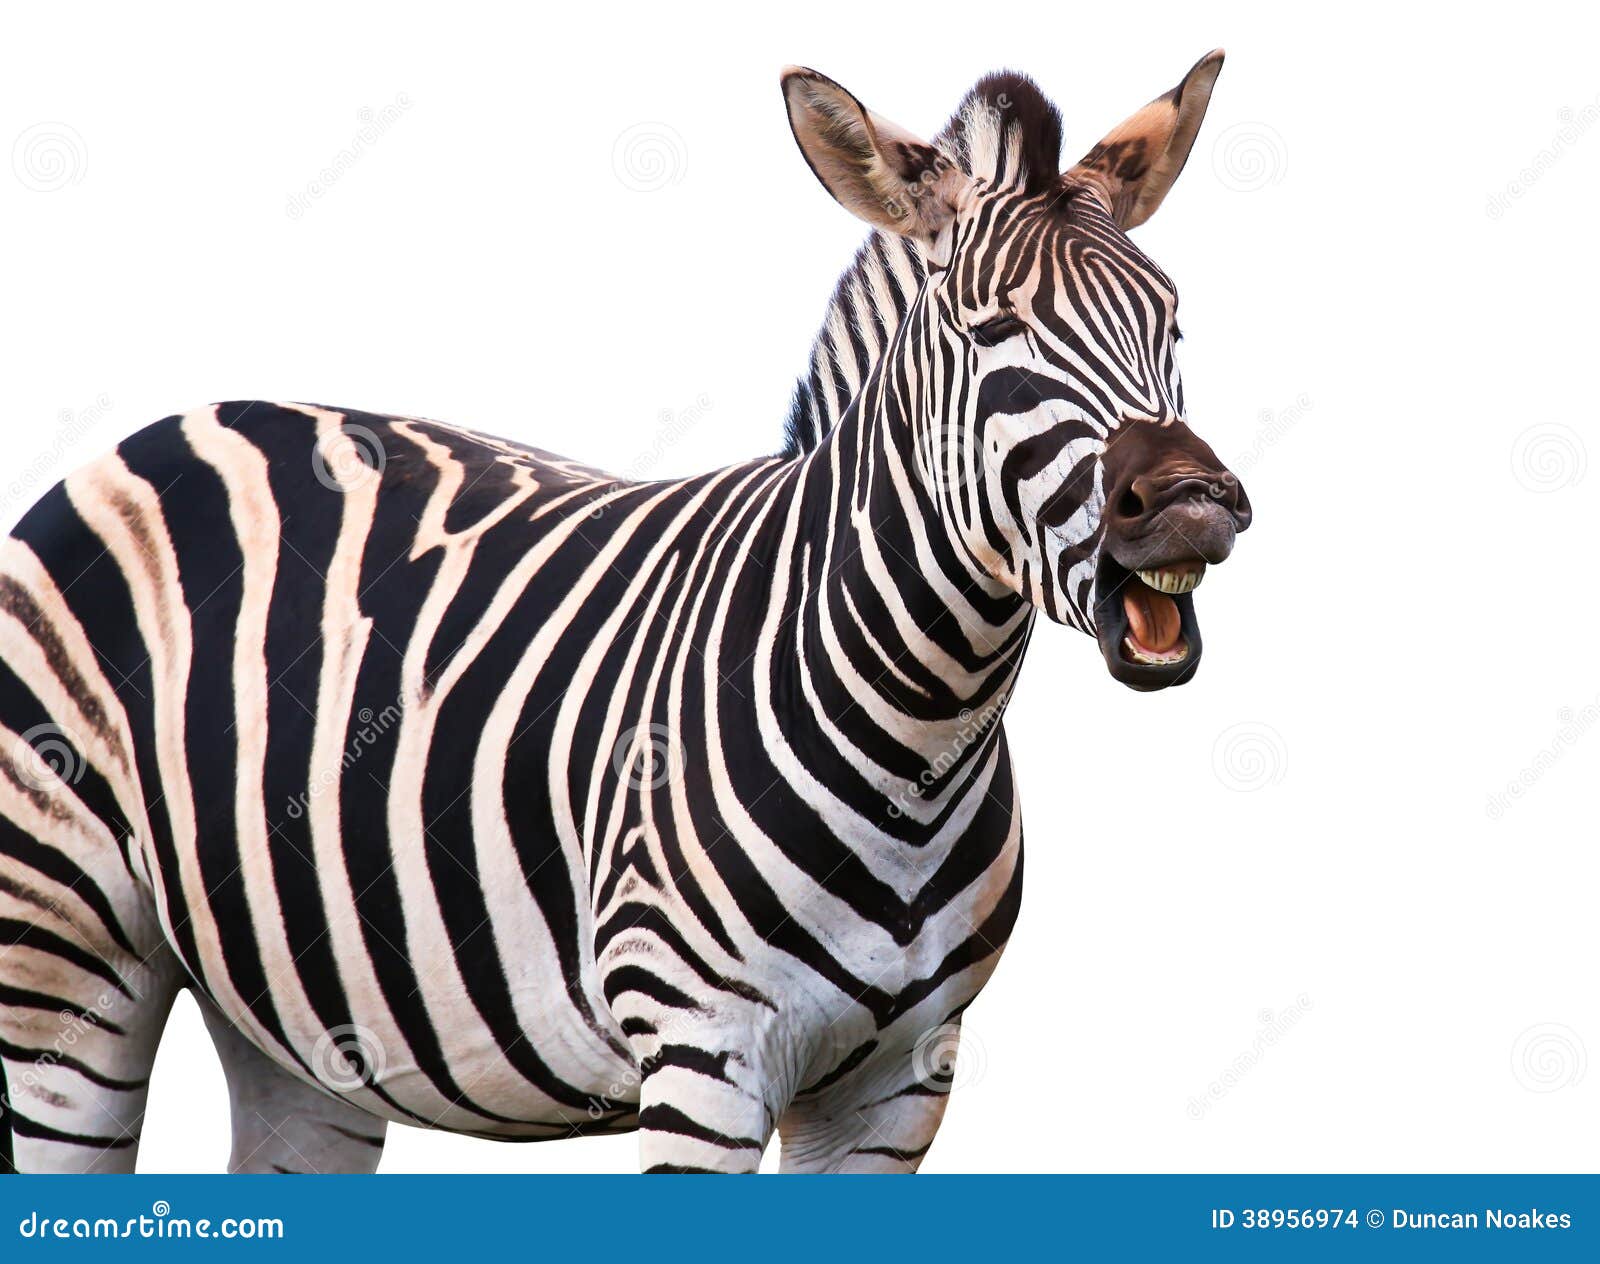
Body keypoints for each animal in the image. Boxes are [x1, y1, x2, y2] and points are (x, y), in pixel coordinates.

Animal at [0, 52, 1251, 1174]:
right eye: (992, 331)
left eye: (1173, 326)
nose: (1192, 505)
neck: (918, 731)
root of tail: (174, 423)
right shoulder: (703, 1056)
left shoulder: (903, 1080)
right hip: (63, 966)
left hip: (295, 1012)